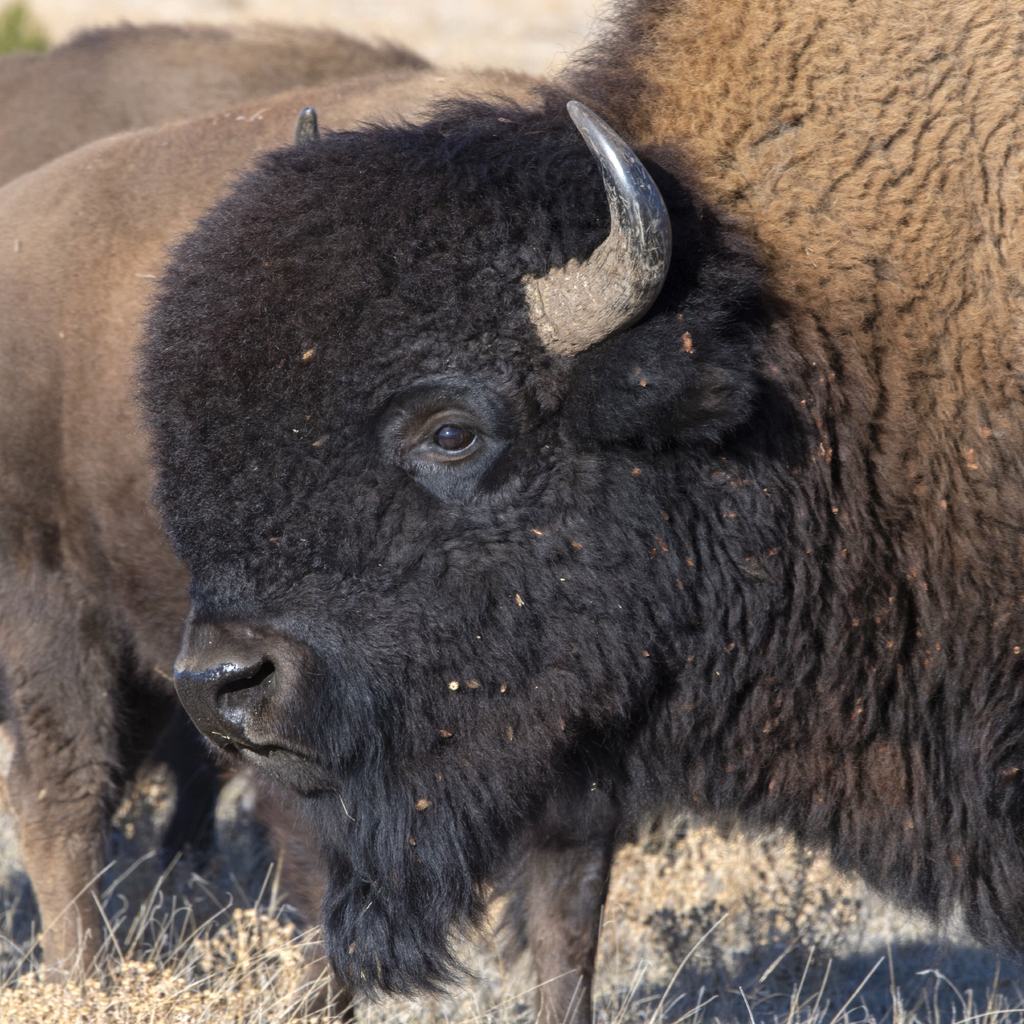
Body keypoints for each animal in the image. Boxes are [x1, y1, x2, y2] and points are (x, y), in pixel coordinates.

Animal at [4, 0, 1024, 1020]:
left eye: (452, 431)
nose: (223, 682)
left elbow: (564, 904)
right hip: (56, 618)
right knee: (68, 799)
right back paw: (82, 978)